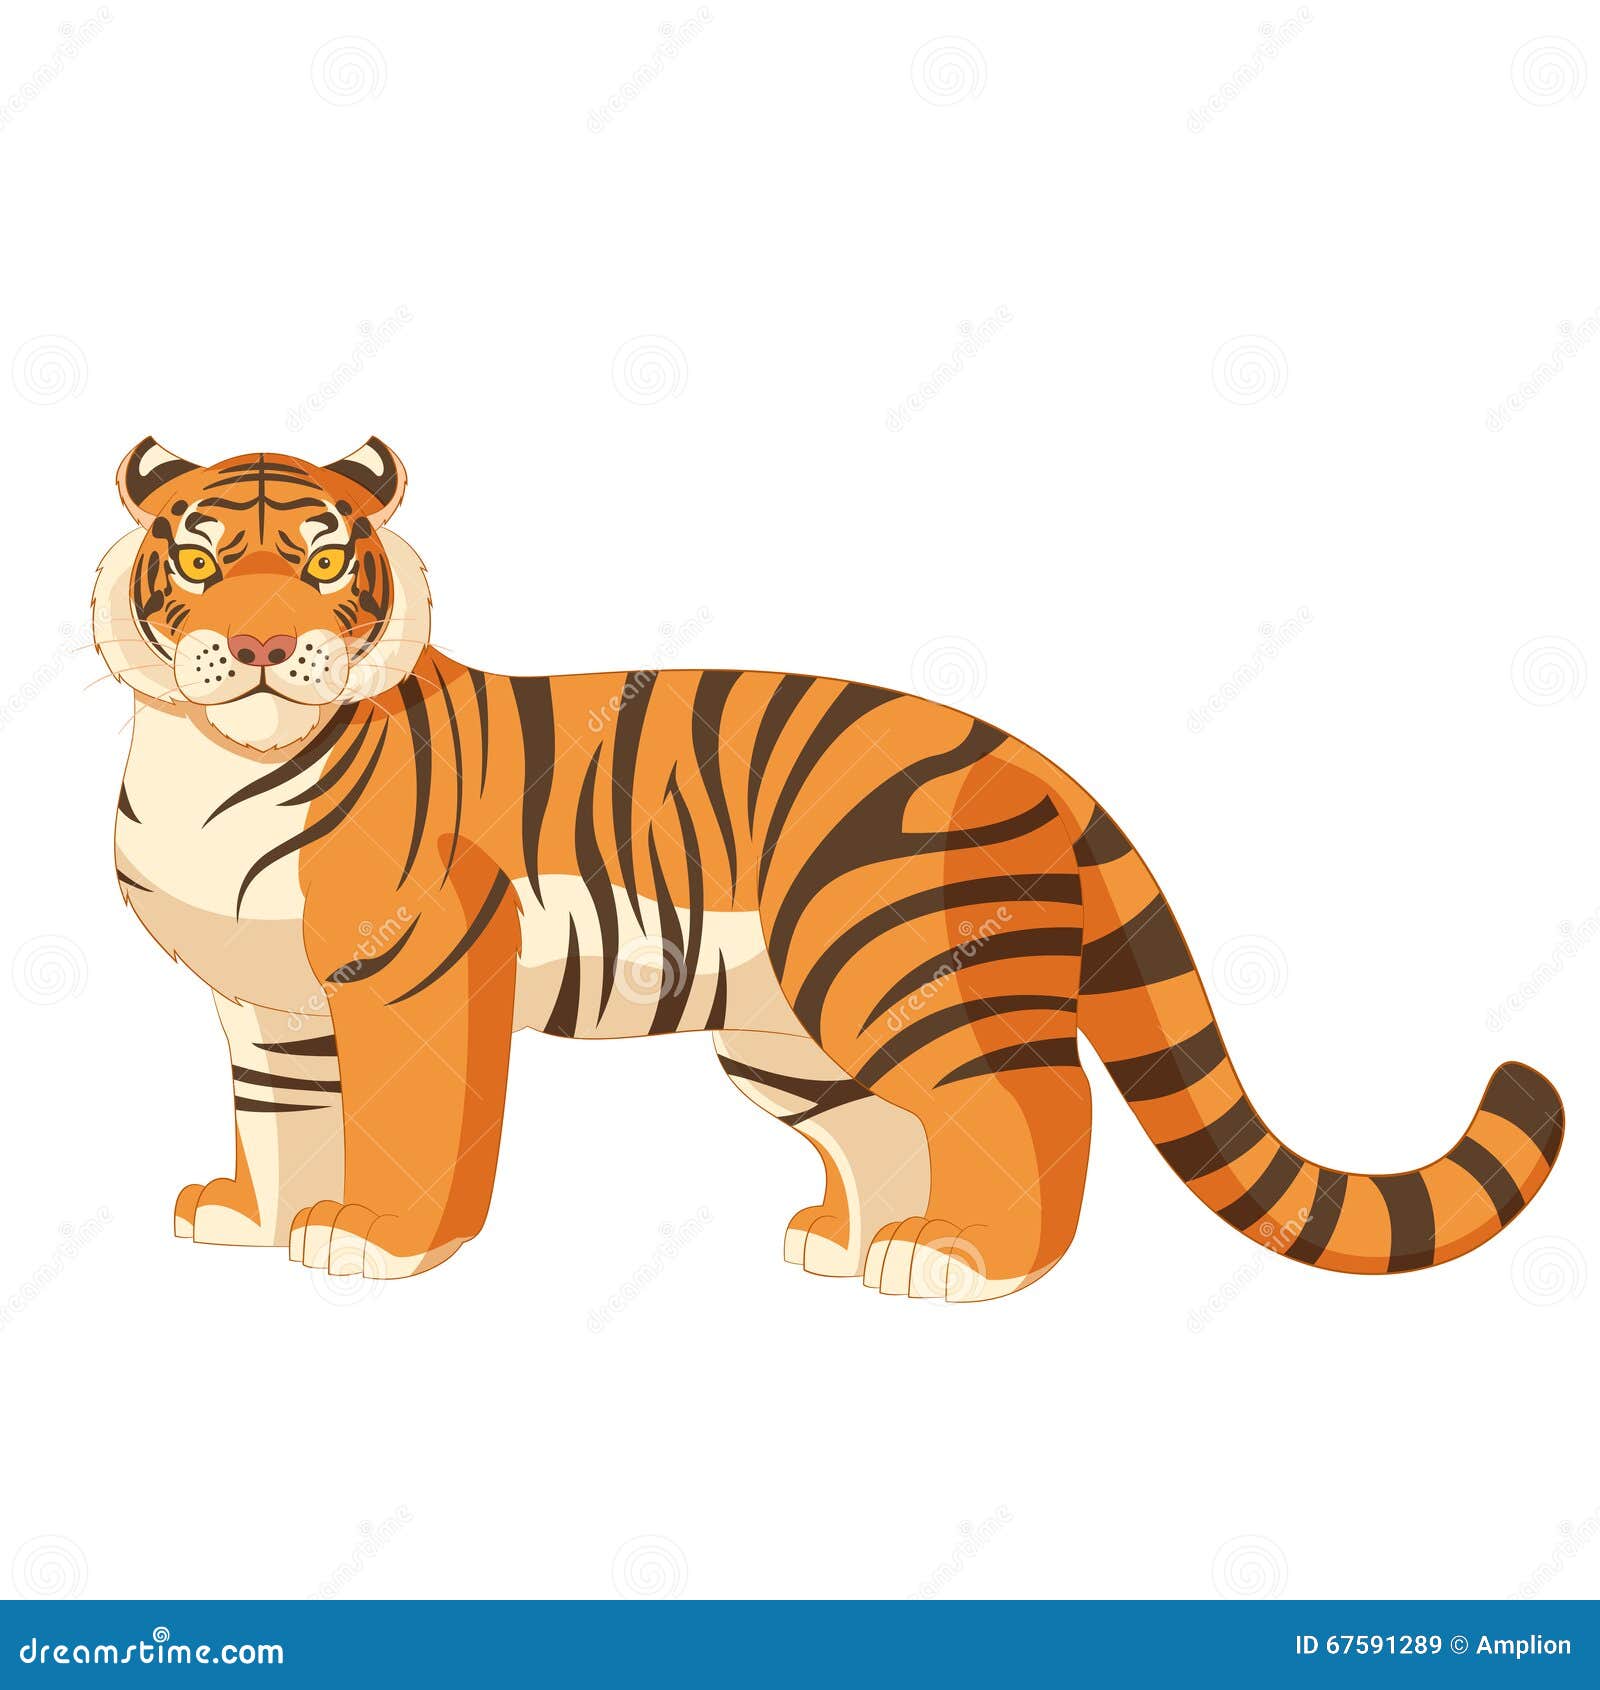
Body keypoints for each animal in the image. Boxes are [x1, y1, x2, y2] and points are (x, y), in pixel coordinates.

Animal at [92, 436, 1565, 1294]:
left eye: (327, 558)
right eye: (200, 556)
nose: (265, 644)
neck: (208, 765)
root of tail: (1037, 762)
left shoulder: (412, 968)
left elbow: (407, 1121)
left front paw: (377, 1241)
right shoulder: (263, 998)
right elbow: (281, 1114)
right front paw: (255, 1216)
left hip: (910, 971)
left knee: (1036, 1105)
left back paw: (967, 1266)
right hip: (793, 1032)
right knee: (895, 1129)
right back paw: (858, 1249)